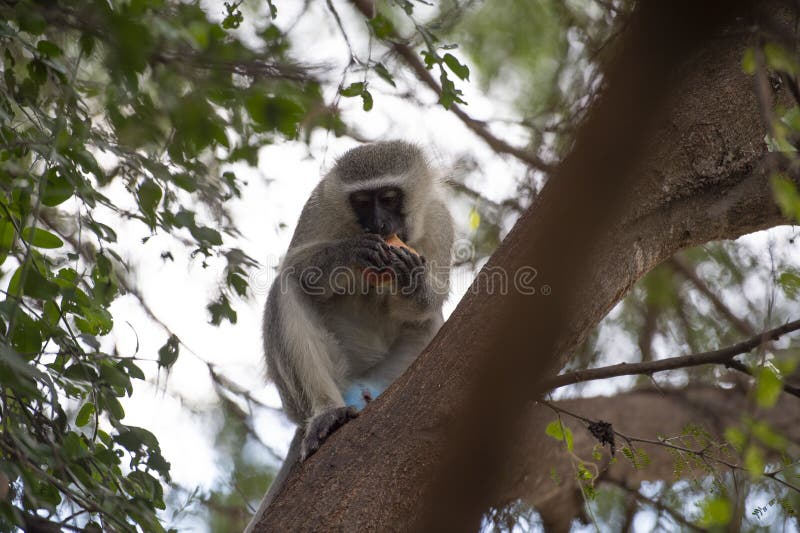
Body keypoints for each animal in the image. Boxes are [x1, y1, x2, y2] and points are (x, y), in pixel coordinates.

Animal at [245, 141, 453, 531]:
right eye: (362, 202)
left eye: (389, 197)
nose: (379, 225)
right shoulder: (319, 206)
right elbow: (294, 265)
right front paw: (348, 252)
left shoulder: (440, 220)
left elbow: (429, 301)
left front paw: (413, 280)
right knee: (287, 287)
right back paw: (327, 413)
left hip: (394, 372)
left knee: (428, 320)